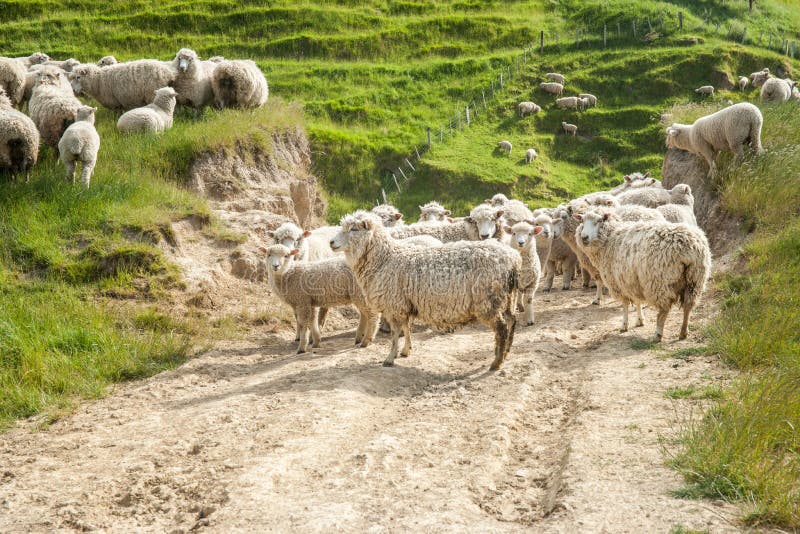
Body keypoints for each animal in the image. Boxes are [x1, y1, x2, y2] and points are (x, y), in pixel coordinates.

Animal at [331, 211, 521, 369]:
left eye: (354, 229)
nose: (331, 242)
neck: (385, 258)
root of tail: (513, 258)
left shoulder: (394, 305)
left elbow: (395, 334)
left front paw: (390, 358)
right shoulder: (405, 304)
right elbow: (407, 328)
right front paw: (406, 351)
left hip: (488, 301)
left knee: (502, 328)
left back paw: (496, 362)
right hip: (508, 298)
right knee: (512, 321)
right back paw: (505, 353)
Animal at [575, 210, 711, 341]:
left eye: (599, 221)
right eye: (582, 221)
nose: (584, 237)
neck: (609, 238)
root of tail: (688, 248)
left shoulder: (619, 282)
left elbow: (625, 304)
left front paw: (624, 325)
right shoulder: (632, 280)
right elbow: (637, 301)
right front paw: (640, 320)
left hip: (659, 281)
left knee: (664, 309)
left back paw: (658, 334)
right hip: (695, 279)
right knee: (688, 306)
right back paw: (683, 332)